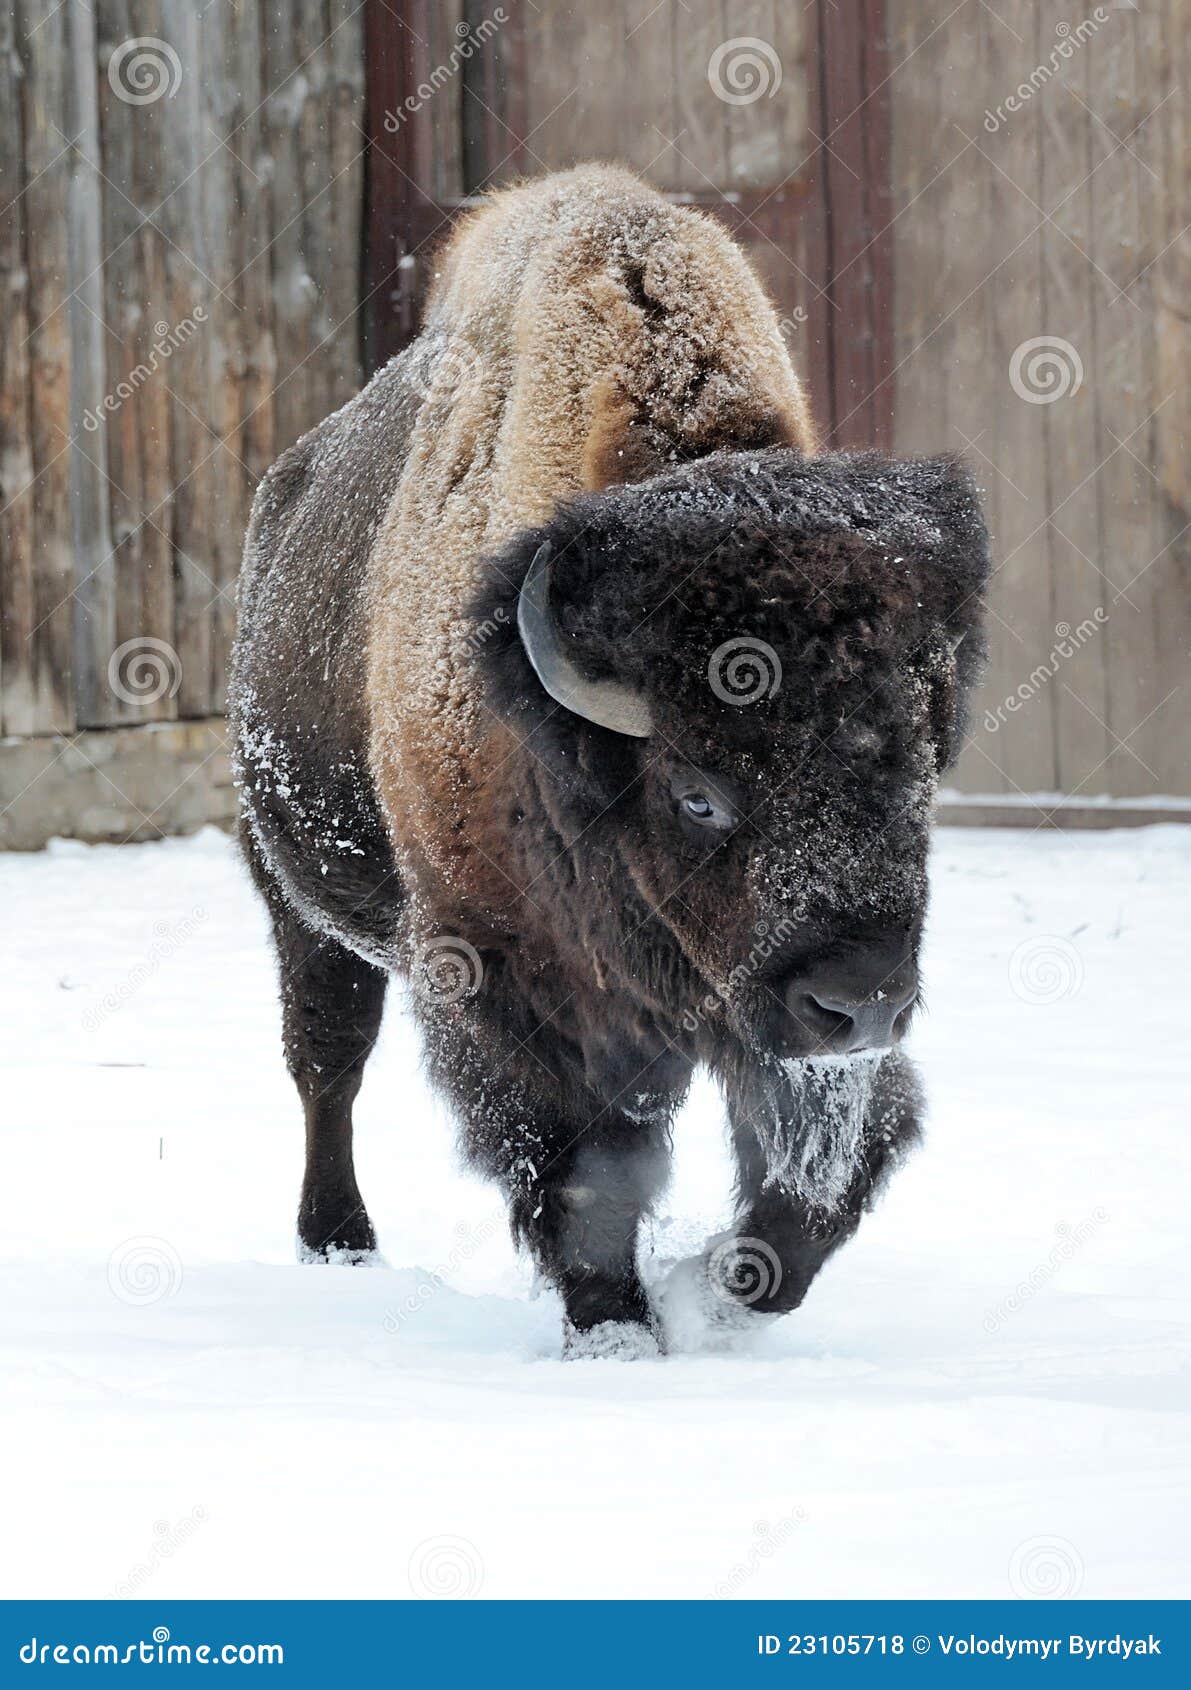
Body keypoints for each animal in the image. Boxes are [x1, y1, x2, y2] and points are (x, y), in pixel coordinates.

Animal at [230, 165, 989, 1357]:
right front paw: (619, 1331)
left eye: (918, 769)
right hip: (293, 898)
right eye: (697, 793)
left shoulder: (768, 1018)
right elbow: (582, 1169)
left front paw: (724, 1292)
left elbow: (829, 1155)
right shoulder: (505, 976)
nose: (858, 999)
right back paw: (337, 1241)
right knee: (327, 1060)